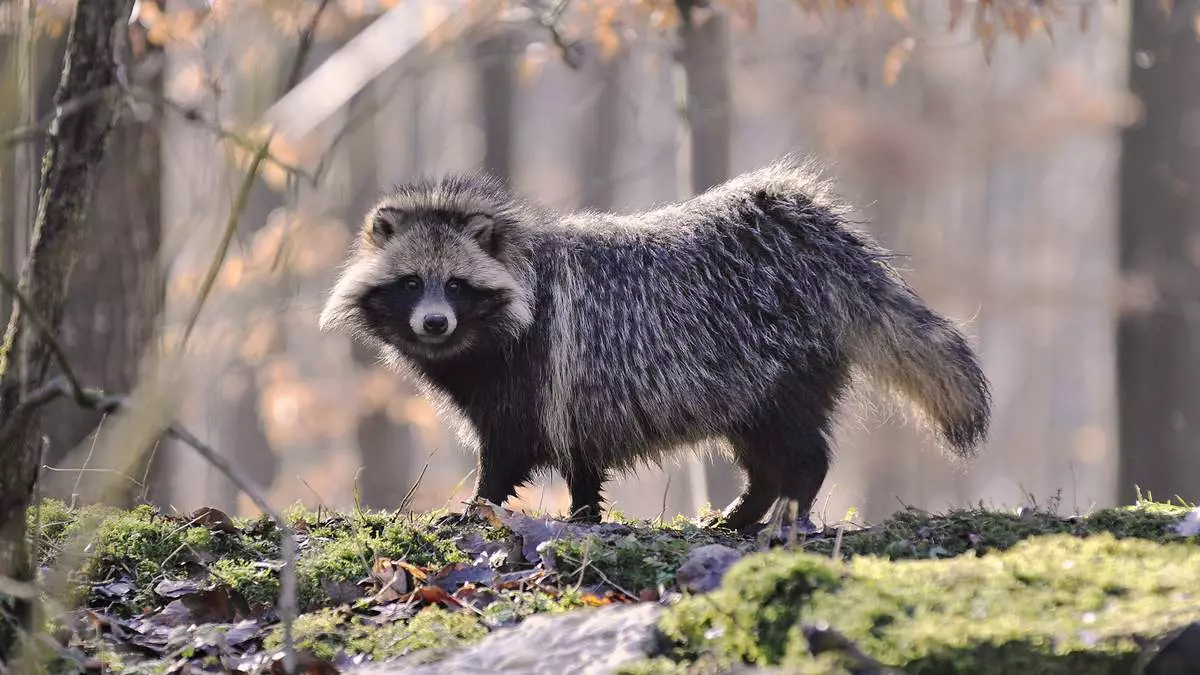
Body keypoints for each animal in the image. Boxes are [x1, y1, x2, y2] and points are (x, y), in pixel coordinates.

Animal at [319, 156, 993, 530]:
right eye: (412, 283)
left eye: (456, 286)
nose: (434, 324)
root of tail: (810, 236)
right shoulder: (573, 389)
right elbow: (580, 459)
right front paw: (584, 513)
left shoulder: (533, 372)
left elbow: (506, 451)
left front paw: (478, 506)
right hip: (745, 385)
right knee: (763, 457)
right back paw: (747, 509)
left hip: (775, 367)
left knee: (799, 451)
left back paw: (784, 508)